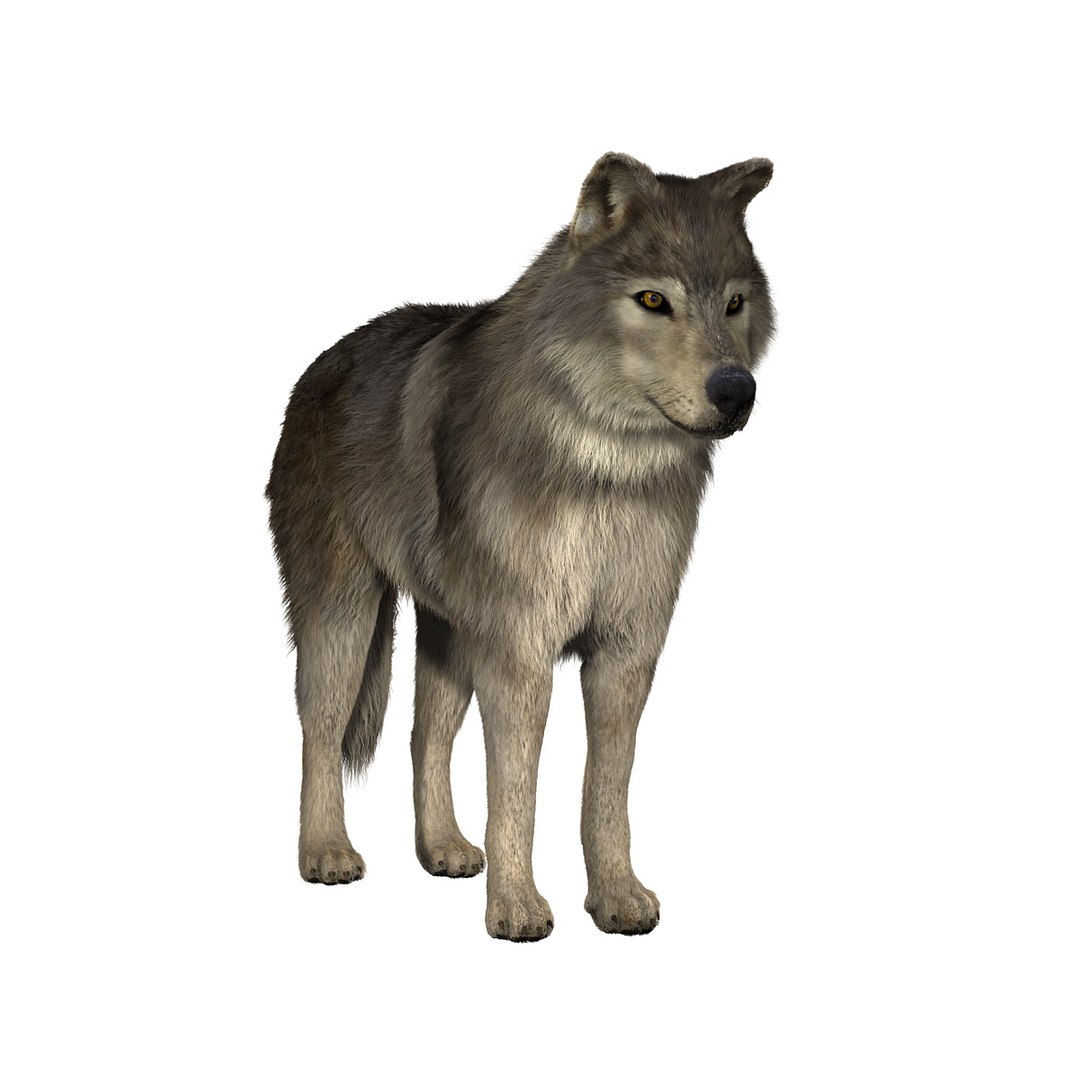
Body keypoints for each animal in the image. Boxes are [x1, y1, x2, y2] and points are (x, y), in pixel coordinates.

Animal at [266, 153, 774, 940]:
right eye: (653, 300)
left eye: (734, 303)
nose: (736, 391)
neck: (605, 470)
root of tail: (324, 361)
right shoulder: (520, 651)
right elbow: (517, 792)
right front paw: (516, 910)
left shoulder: (626, 653)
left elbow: (606, 792)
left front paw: (617, 898)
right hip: (344, 616)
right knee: (319, 730)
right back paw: (326, 854)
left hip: (450, 635)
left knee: (425, 736)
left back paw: (443, 849)